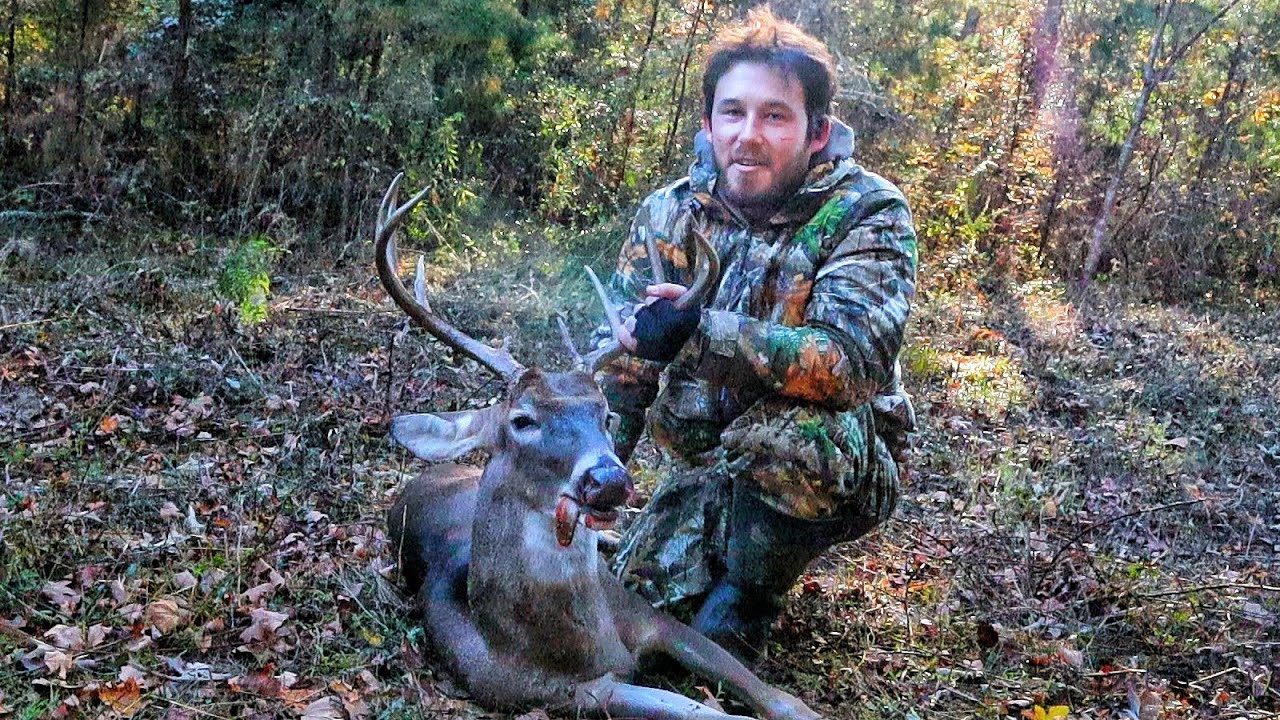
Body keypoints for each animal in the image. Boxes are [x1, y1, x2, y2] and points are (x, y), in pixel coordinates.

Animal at [376, 174, 824, 720]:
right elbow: (706, 711)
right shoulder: (573, 693)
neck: (587, 643)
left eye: (605, 415)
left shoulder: (649, 616)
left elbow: (776, 698)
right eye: (522, 420)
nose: (609, 480)